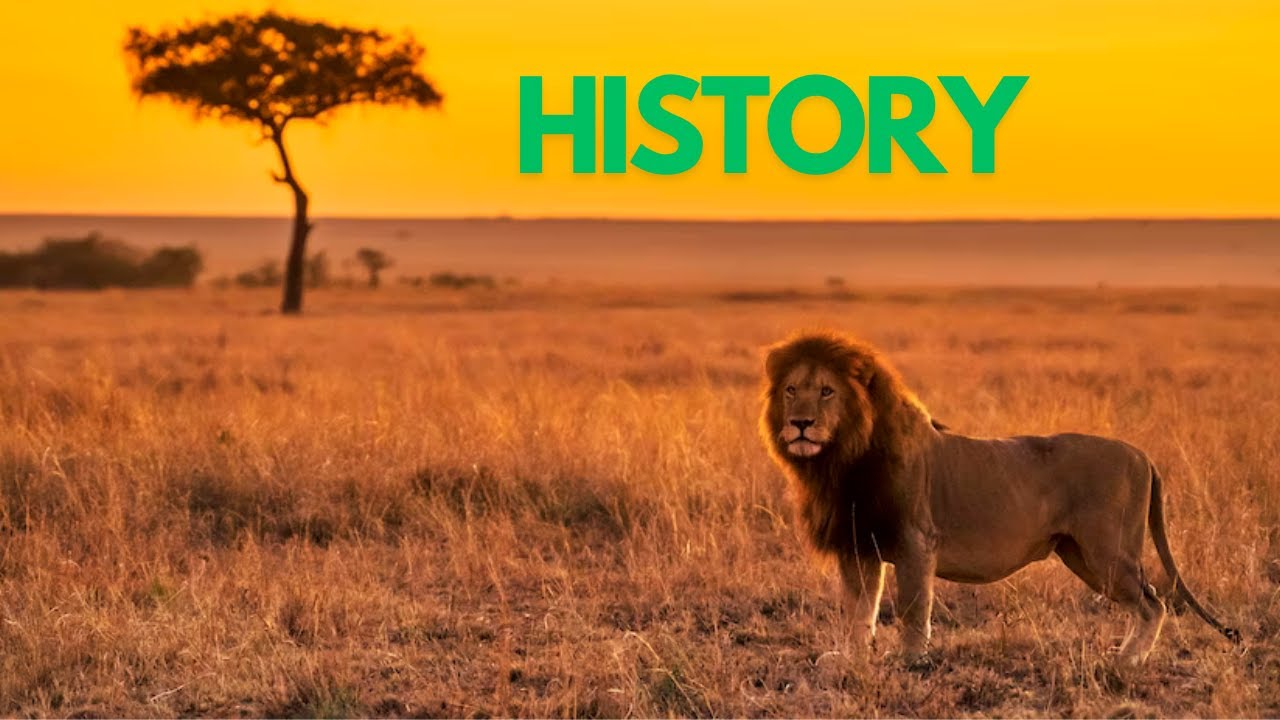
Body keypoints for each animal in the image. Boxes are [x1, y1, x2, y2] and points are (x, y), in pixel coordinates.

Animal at [759, 331, 1240, 666]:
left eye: (827, 391)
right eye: (791, 390)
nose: (800, 424)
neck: (842, 459)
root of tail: (1141, 454)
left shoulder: (916, 540)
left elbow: (913, 607)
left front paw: (912, 660)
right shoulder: (858, 545)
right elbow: (859, 608)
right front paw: (851, 659)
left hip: (1108, 550)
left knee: (1153, 602)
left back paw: (1126, 662)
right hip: (1081, 555)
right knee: (1146, 601)